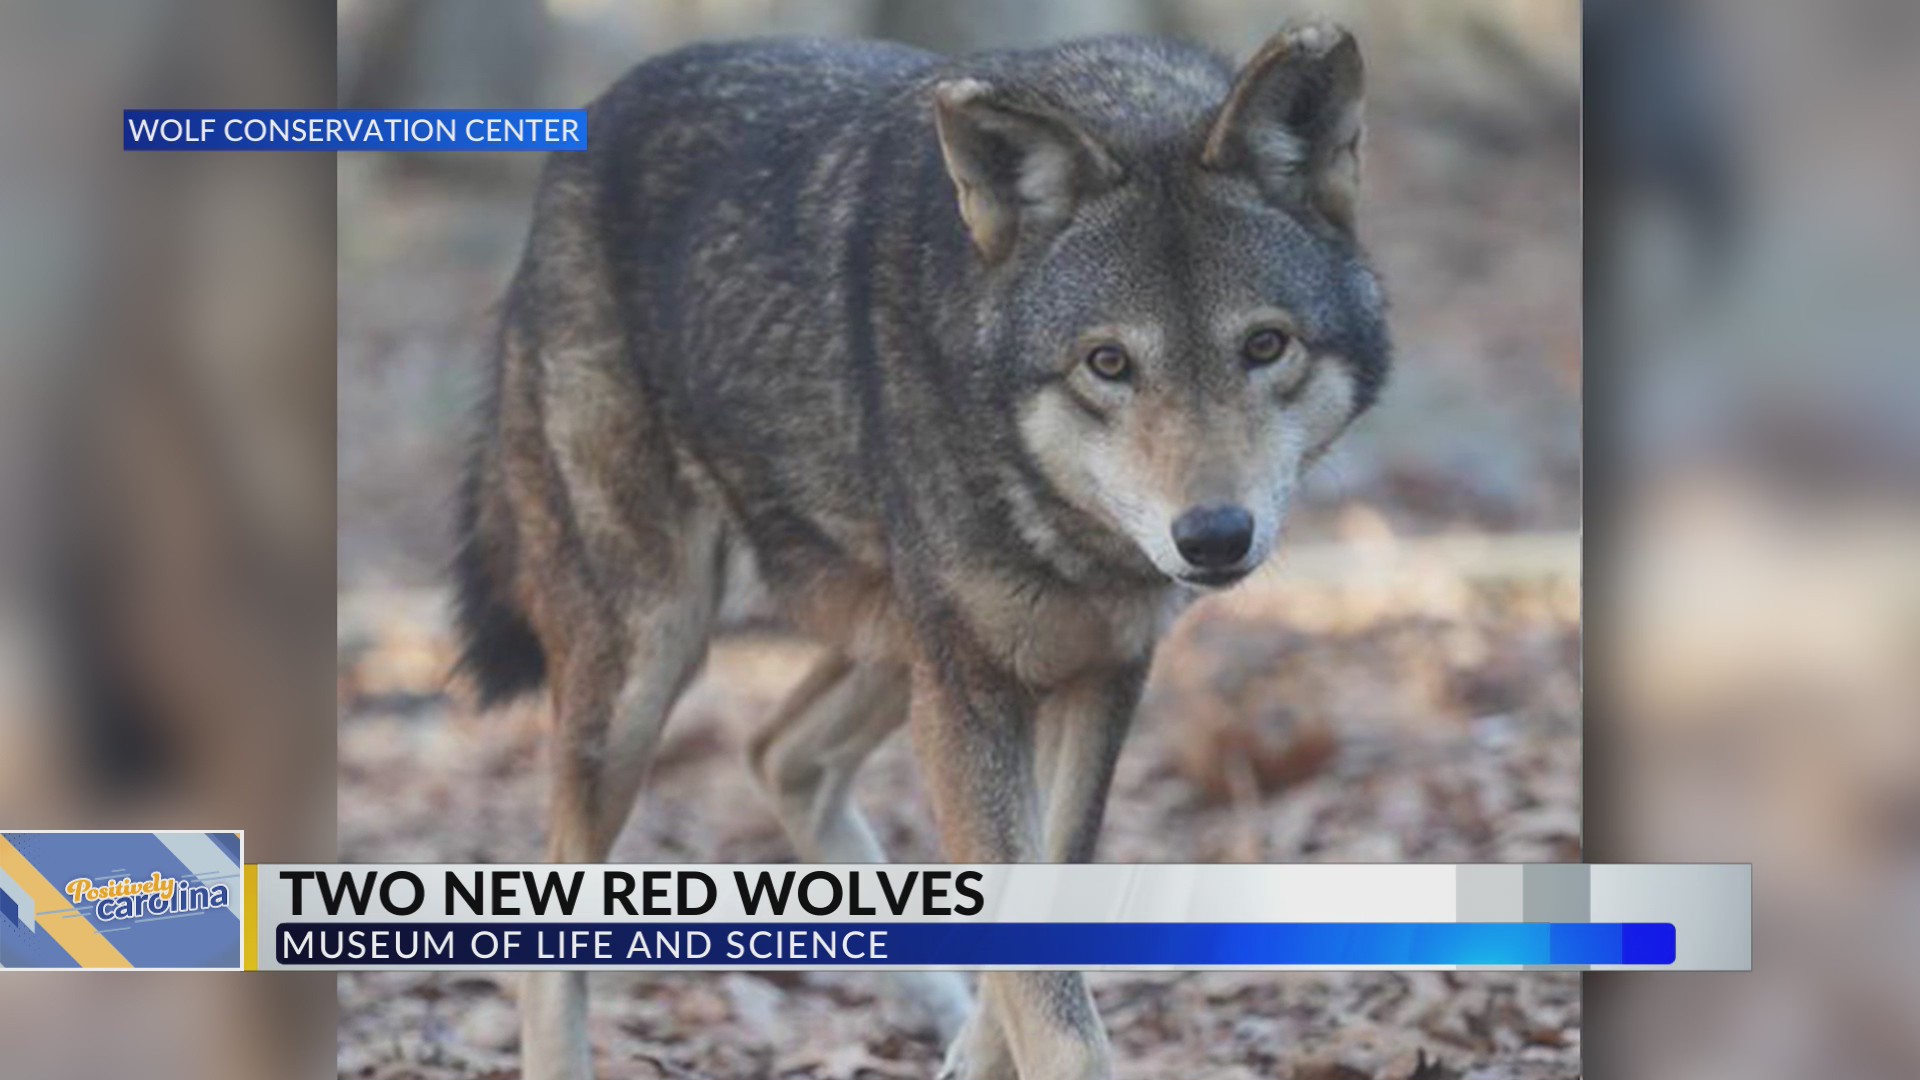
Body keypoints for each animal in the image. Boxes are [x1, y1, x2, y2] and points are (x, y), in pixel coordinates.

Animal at [453, 22, 1389, 1080]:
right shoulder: (976, 694)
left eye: (1265, 346)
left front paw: (974, 1047)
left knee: (780, 751)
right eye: (1109, 363)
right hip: (651, 668)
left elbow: (1041, 910)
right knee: (553, 929)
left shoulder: (1097, 674)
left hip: (900, 646)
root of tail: (589, 124)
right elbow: (1049, 998)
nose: (1215, 534)